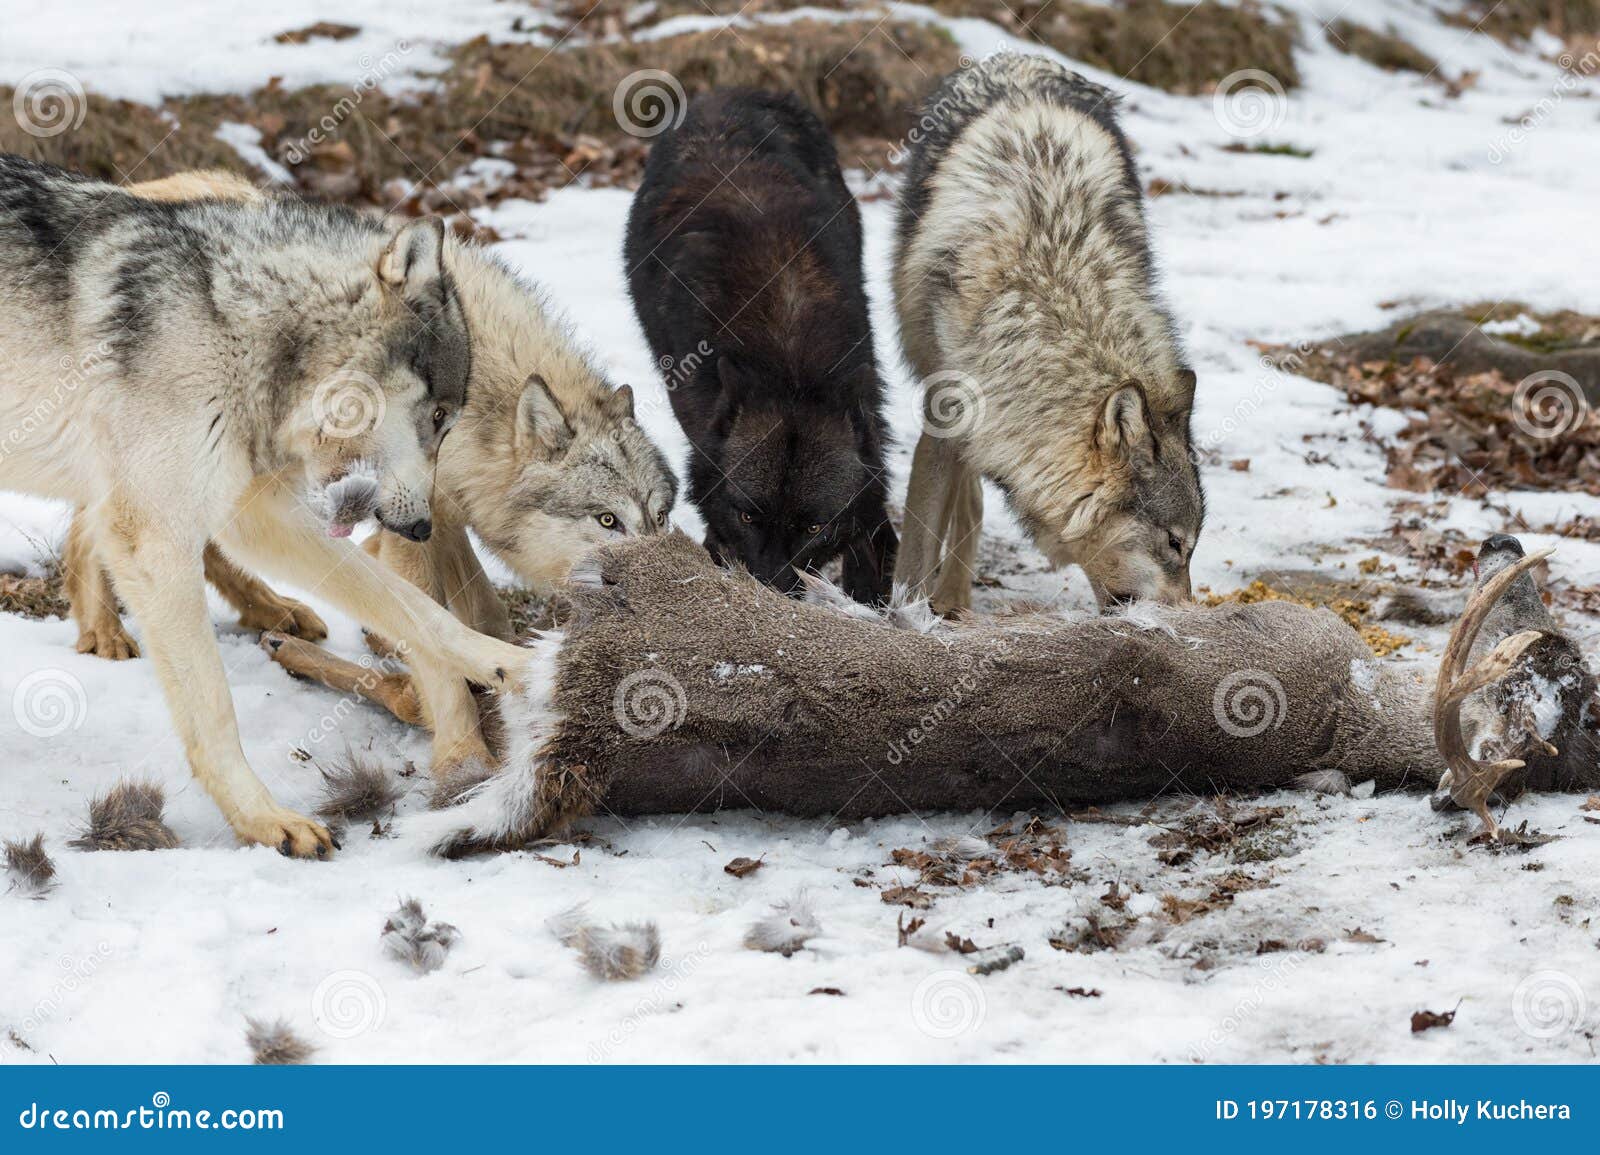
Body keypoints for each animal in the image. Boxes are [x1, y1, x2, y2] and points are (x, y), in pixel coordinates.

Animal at [0, 154, 540, 856]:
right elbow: (214, 708)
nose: (422, 527)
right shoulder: (152, 538)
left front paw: (514, 664)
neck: (240, 336)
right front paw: (262, 819)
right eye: (441, 415)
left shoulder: (254, 515)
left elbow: (418, 611)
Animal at [65, 168, 679, 782]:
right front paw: (464, 755)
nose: (670, 590)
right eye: (607, 520)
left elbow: (477, 613)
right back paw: (104, 631)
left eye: (660, 516)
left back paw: (274, 613)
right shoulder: (413, 515)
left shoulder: (436, 513)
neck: (482, 407)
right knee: (91, 526)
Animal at [624, 87, 897, 602]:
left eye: (814, 528)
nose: (771, 592)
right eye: (749, 514)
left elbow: (875, 539)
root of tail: (727, 93)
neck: (789, 357)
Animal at [893, 54, 1203, 613]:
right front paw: (901, 618)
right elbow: (917, 546)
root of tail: (1022, 58)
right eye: (1174, 544)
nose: (1191, 618)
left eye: (1192, 547)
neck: (1051, 277)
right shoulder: (943, 421)